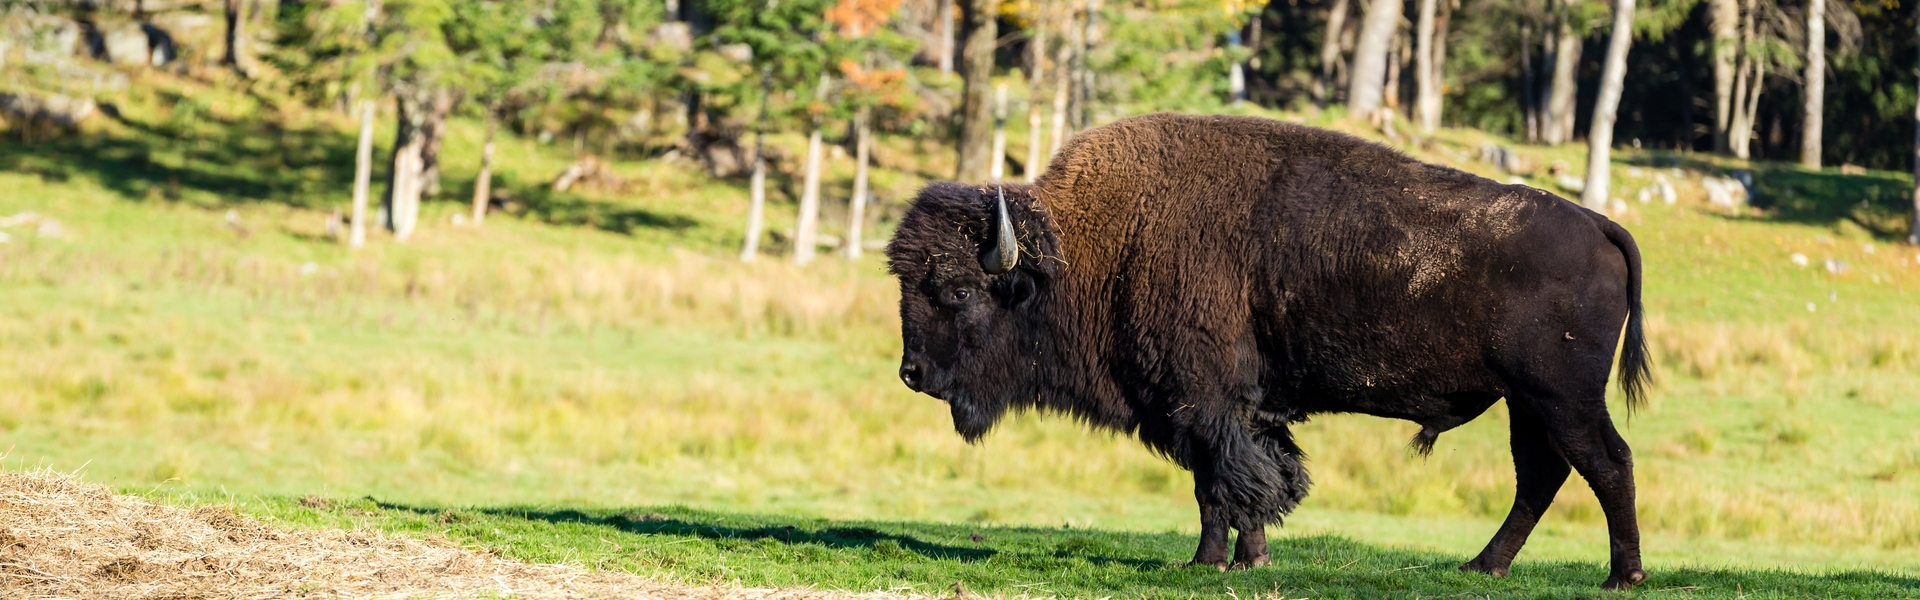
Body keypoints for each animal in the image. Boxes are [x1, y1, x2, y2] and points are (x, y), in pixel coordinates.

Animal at [885, 113, 1652, 589]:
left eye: (956, 290)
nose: (912, 373)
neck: (1088, 249)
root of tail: (1599, 224)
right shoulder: (1233, 410)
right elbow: (1250, 480)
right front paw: (1251, 561)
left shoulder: (1200, 402)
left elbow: (1218, 483)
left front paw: (1205, 563)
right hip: (1527, 403)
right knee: (1543, 477)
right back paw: (1483, 568)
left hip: (1561, 397)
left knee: (1606, 464)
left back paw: (1622, 576)